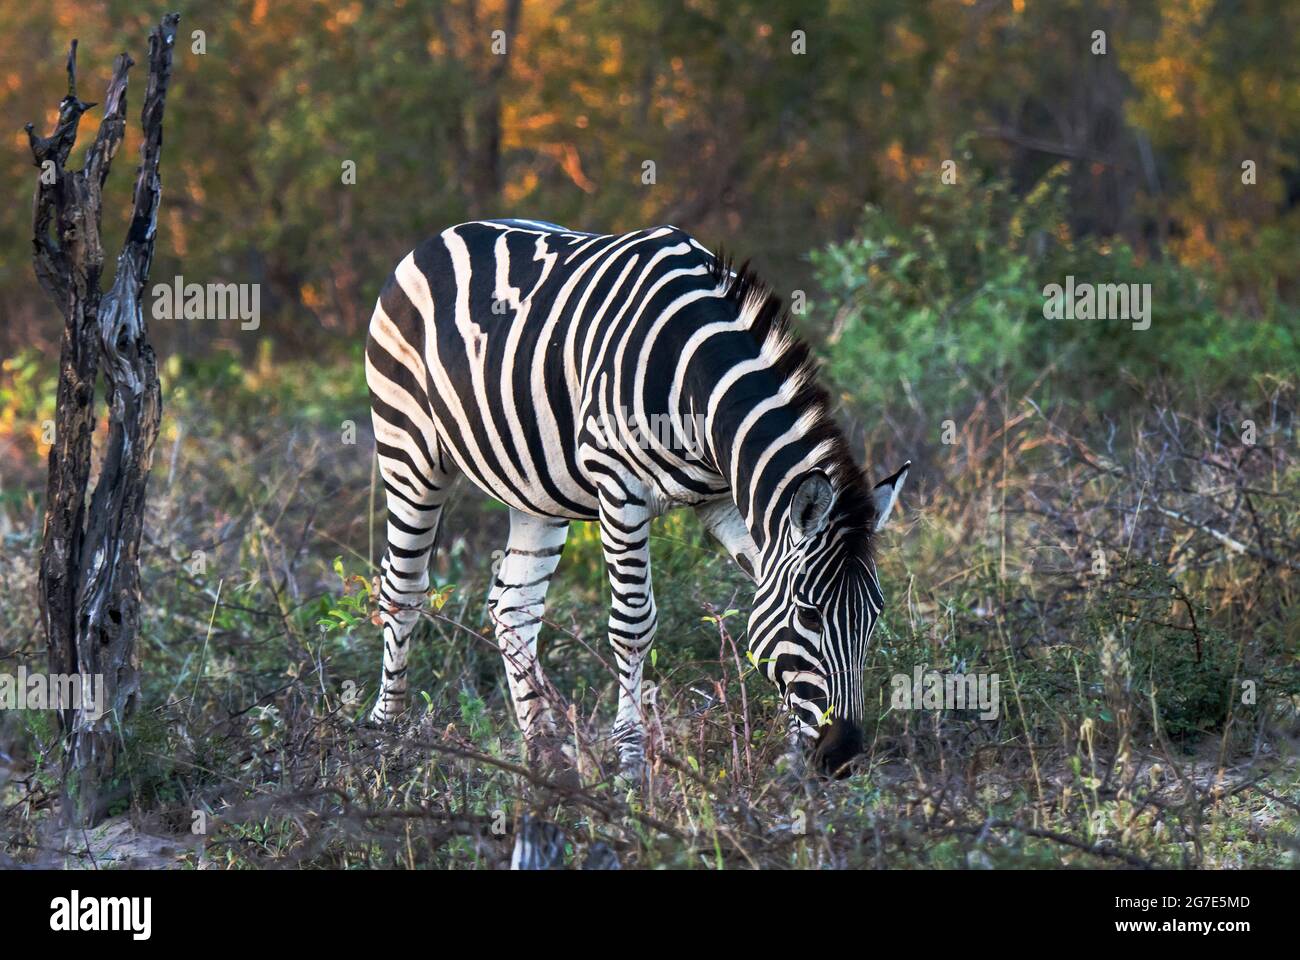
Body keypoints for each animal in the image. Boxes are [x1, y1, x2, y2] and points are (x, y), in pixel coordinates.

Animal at [364, 218, 908, 777]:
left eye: (874, 616)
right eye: (810, 615)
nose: (842, 755)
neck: (697, 379)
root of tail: (441, 234)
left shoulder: (721, 498)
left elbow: (762, 597)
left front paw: (793, 746)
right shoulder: (619, 487)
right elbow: (633, 624)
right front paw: (629, 757)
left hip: (535, 491)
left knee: (513, 609)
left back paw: (547, 757)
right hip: (409, 451)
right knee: (401, 591)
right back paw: (388, 744)